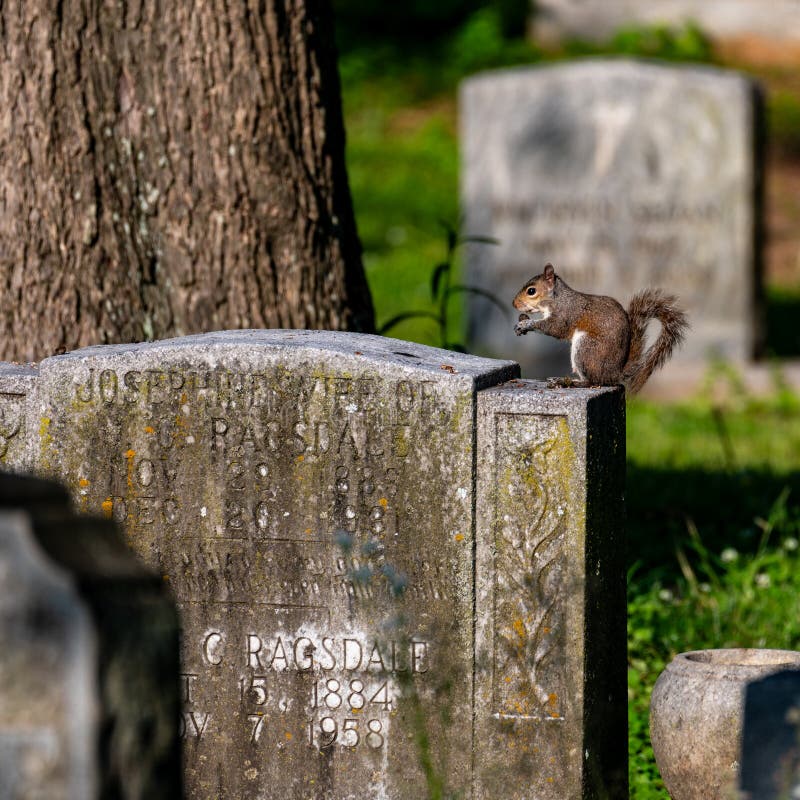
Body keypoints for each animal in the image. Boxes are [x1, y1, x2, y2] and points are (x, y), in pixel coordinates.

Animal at [512, 263, 688, 393]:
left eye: (531, 291)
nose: (514, 304)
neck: (557, 299)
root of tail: (613, 374)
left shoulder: (566, 314)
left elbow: (555, 328)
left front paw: (526, 324)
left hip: (586, 348)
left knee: (592, 381)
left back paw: (565, 382)